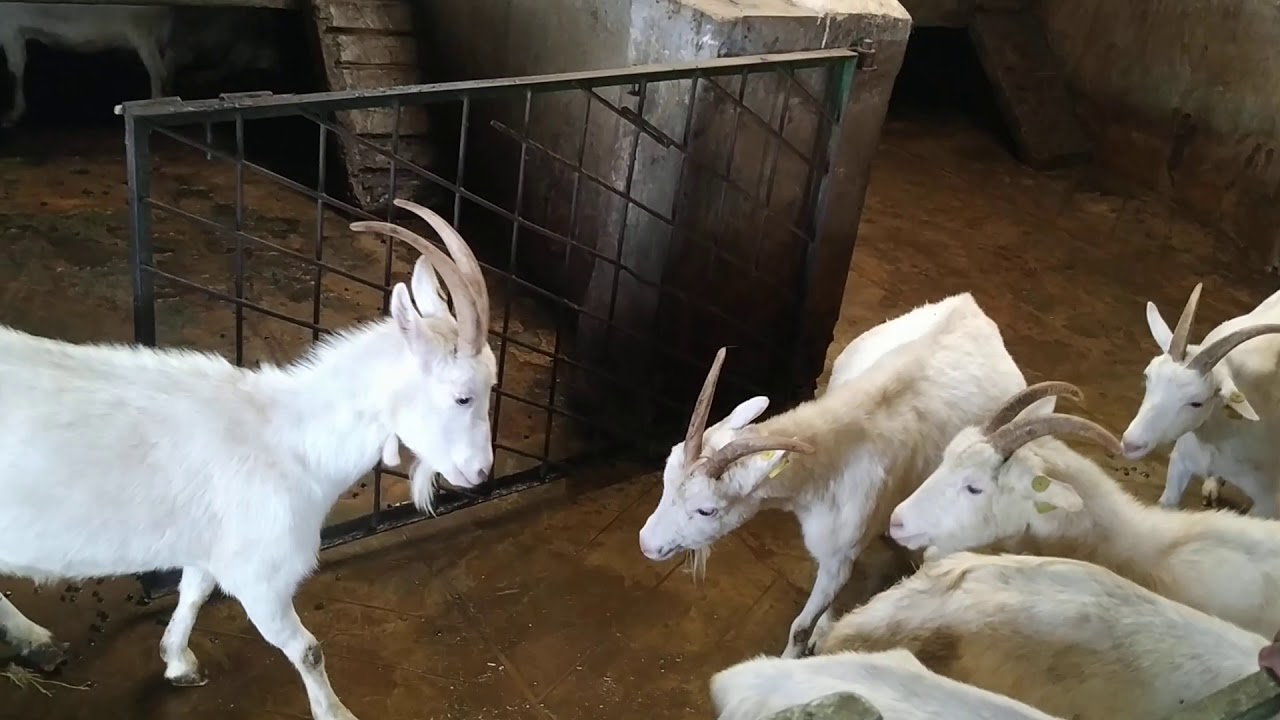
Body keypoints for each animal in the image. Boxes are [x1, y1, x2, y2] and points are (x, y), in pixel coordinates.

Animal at [0, 200, 495, 720]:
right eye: (463, 397)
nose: (481, 472)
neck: (290, 440)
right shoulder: (261, 576)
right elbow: (307, 649)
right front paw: (336, 712)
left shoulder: (215, 544)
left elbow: (194, 591)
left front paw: (178, 661)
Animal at [637, 292, 1031, 658]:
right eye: (666, 480)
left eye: (707, 510)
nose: (646, 544)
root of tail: (970, 305)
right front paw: (823, 628)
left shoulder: (840, 551)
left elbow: (800, 626)